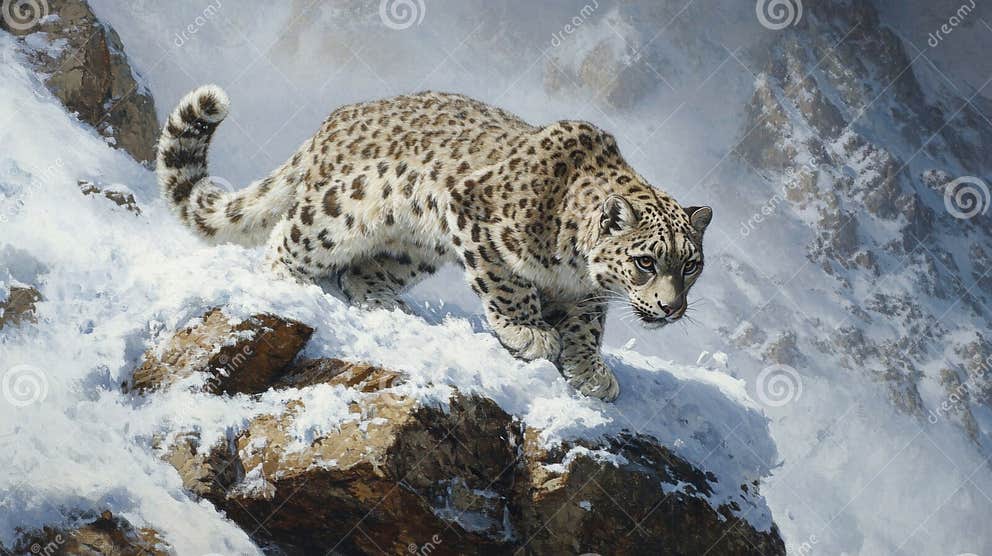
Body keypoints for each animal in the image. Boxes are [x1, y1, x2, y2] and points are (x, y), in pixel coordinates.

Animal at [156, 85, 712, 402]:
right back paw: (289, 286)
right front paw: (527, 331)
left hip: (413, 248)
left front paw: (589, 370)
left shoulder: (584, 292)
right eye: (646, 262)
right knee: (286, 240)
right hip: (339, 212)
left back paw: (386, 304)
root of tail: (329, 123)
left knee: (360, 270)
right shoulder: (472, 213)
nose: (671, 308)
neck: (572, 264)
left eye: (690, 266)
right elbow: (508, 285)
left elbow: (587, 325)